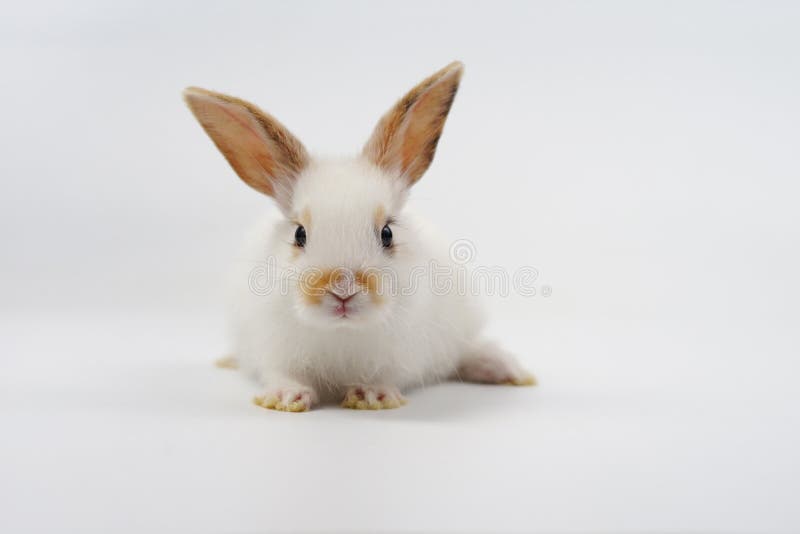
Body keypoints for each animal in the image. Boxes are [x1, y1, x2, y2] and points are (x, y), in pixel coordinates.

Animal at [184, 61, 535, 412]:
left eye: (387, 233)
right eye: (299, 234)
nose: (342, 288)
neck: (343, 332)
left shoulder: (404, 353)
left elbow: (388, 375)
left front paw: (371, 396)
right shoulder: (271, 349)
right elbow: (281, 374)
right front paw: (286, 397)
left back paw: (506, 370)